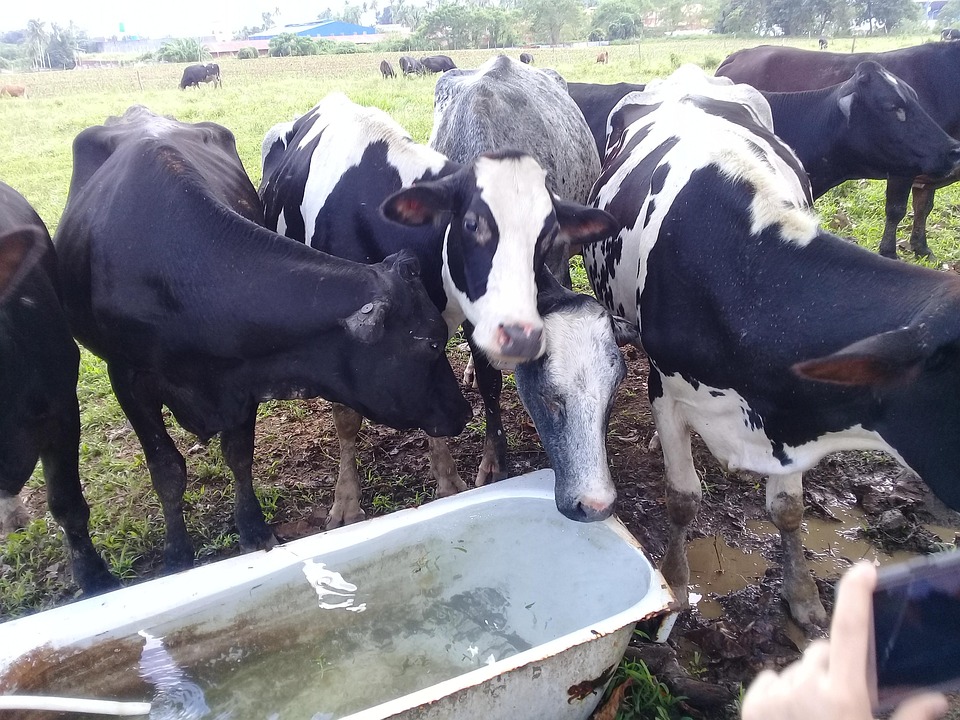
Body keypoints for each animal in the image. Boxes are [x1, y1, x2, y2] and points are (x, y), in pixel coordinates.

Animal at [53, 105, 471, 572]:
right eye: (430, 343)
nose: (464, 411)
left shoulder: (242, 374)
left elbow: (238, 453)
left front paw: (253, 532)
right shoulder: (127, 377)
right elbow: (167, 469)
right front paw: (178, 554)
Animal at [259, 93, 624, 526]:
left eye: (548, 233)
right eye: (472, 224)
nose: (521, 335)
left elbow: (470, 389)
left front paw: (451, 482)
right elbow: (348, 419)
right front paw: (346, 501)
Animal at [716, 42, 960, 260]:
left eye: (916, 99)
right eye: (892, 107)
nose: (952, 150)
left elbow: (923, 206)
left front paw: (922, 249)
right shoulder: (903, 172)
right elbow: (897, 209)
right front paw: (890, 252)